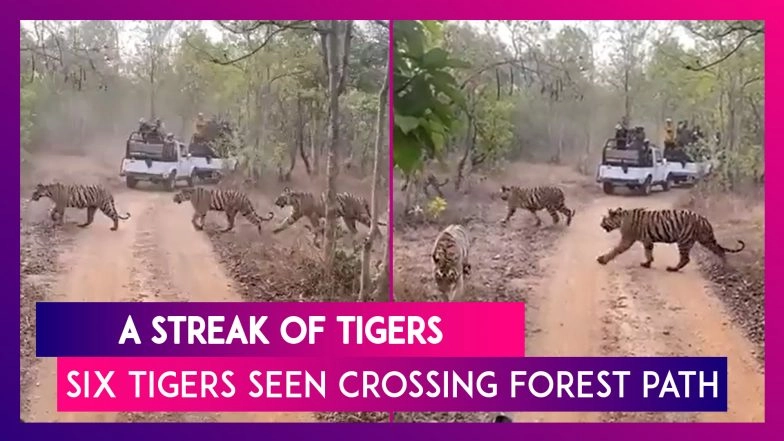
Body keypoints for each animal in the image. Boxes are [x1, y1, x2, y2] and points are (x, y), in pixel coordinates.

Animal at [596, 207, 746, 272]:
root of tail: (703, 219)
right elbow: (648, 252)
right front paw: (647, 263)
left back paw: (673, 268)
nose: (600, 224)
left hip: (684, 241)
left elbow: (615, 250)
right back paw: (724, 265)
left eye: (604, 219)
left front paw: (602, 259)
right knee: (719, 250)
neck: (621, 218)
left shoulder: (627, 240)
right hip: (705, 239)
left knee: (685, 258)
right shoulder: (647, 240)